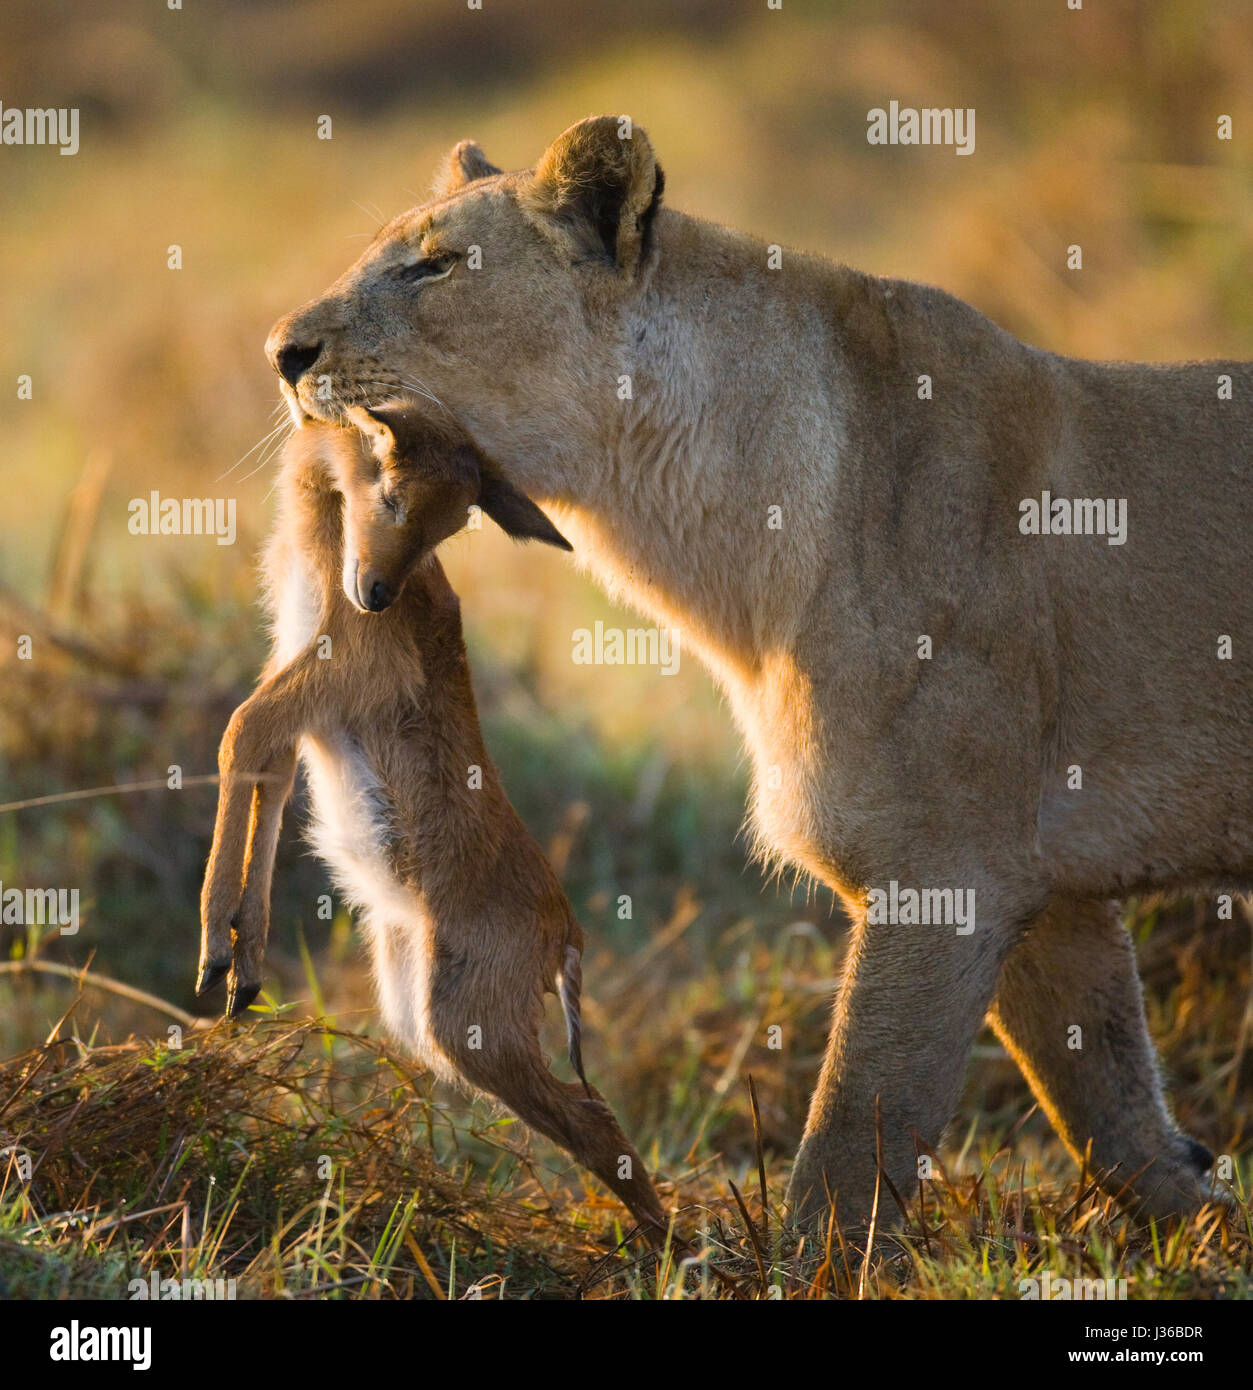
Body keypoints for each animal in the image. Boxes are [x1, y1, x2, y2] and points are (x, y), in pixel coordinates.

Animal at [264, 114, 1253, 1235]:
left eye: (433, 265)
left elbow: (848, 1137)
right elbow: (1113, 1111)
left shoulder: (943, 868)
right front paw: (1205, 1223)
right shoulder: (1053, 890)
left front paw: (798, 1259)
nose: (282, 353)